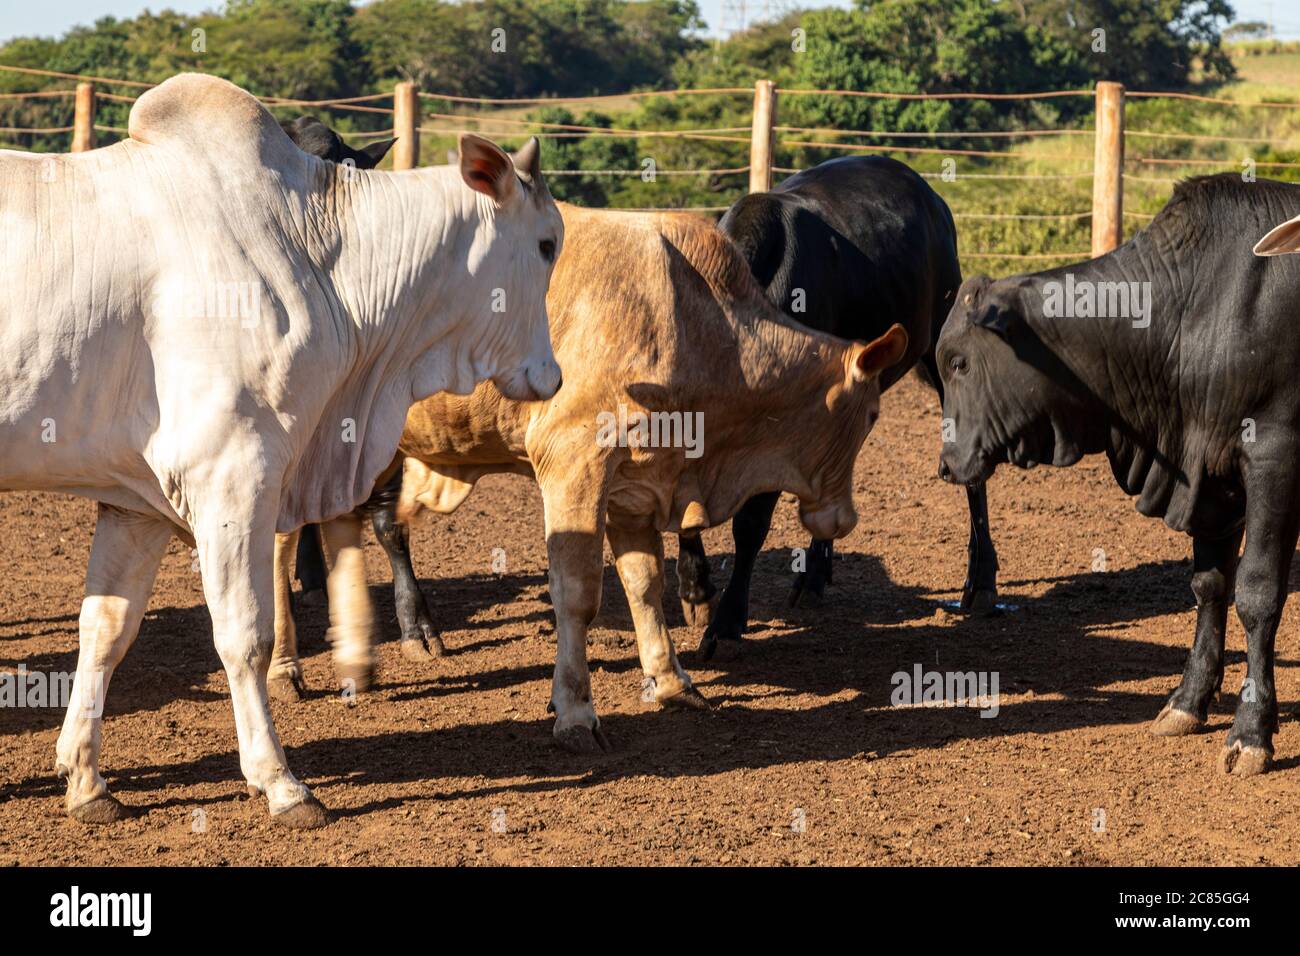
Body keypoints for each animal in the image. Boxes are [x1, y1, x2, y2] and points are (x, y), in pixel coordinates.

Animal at [1, 73, 562, 827]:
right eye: (547, 244)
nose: (554, 377)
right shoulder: (231, 474)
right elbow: (244, 635)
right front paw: (281, 782)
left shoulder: (135, 502)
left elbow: (106, 630)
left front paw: (87, 781)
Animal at [271, 203, 909, 752]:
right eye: (873, 414)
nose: (843, 519)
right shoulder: (573, 462)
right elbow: (578, 596)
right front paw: (575, 711)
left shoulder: (636, 484)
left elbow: (644, 584)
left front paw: (671, 681)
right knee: (281, 546)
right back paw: (286, 667)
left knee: (339, 526)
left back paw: (358, 658)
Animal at [672, 156, 997, 660]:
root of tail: (928, 194)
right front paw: (696, 591)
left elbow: (751, 523)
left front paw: (726, 620)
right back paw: (815, 572)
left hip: (940, 347)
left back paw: (981, 583)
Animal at [936, 173, 1300, 777]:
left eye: (960, 362)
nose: (945, 463)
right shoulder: (1209, 479)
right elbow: (1209, 585)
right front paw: (1188, 701)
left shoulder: (1275, 460)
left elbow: (1256, 592)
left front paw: (1251, 731)